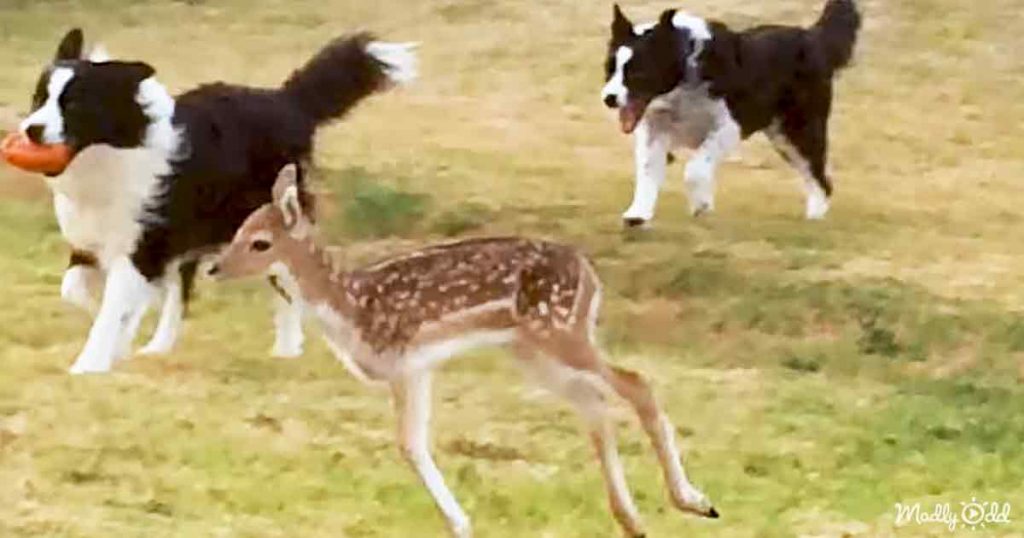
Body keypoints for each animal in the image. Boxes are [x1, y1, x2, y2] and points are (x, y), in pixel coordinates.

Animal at [208, 164, 719, 537]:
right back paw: (633, 521)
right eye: (239, 228)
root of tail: (591, 273)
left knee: (635, 383)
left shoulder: (405, 362)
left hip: (559, 330)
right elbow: (412, 445)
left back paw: (694, 501)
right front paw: (461, 523)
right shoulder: (417, 370)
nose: (214, 268)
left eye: (260, 243)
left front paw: (460, 522)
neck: (352, 308)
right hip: (531, 350)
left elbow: (408, 444)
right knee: (594, 405)